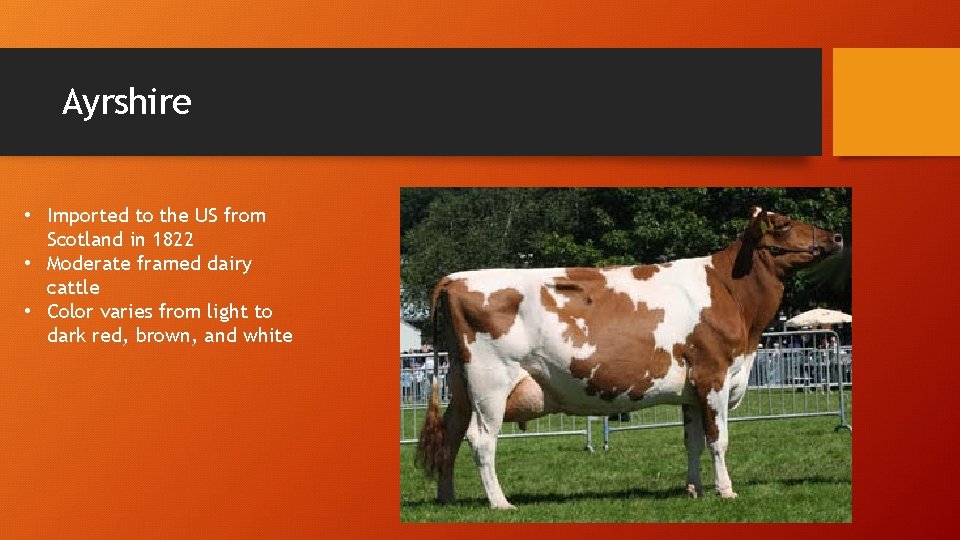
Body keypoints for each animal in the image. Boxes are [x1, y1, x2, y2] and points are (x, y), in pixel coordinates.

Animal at [415, 207, 843, 509]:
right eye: (784, 223)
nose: (837, 235)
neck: (731, 294)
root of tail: (455, 278)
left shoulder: (692, 389)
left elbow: (692, 442)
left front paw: (694, 489)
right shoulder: (714, 375)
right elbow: (719, 440)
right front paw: (726, 491)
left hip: (461, 384)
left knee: (450, 436)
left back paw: (447, 498)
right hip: (490, 382)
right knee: (480, 439)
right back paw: (500, 503)